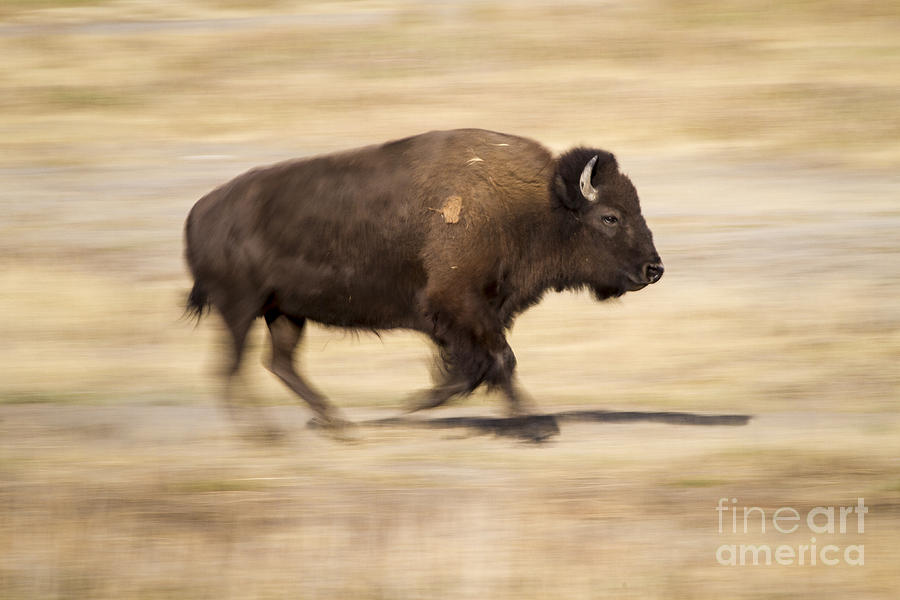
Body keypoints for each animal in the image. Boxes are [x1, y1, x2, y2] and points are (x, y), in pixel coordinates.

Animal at [185, 129, 662, 435]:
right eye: (610, 217)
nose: (653, 270)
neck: (533, 204)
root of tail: (200, 212)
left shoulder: (474, 314)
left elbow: (474, 368)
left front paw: (414, 404)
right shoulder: (460, 305)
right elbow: (501, 359)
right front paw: (533, 423)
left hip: (283, 312)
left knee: (278, 363)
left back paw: (335, 422)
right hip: (242, 309)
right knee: (232, 367)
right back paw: (263, 434)